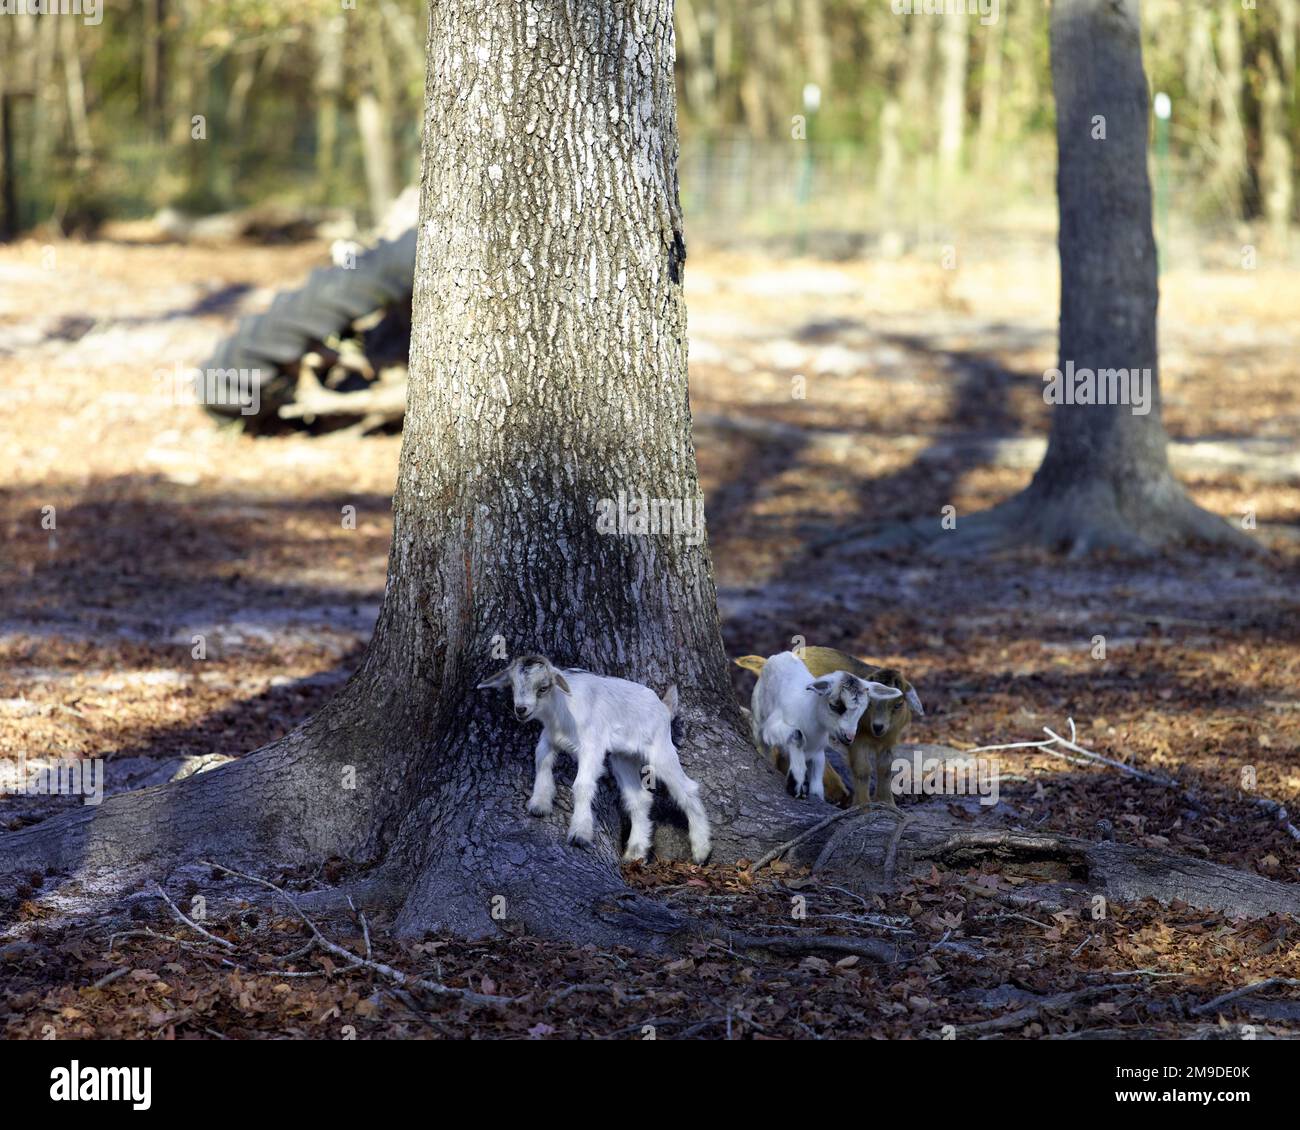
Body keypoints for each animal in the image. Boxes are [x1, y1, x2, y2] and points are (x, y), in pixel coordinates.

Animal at [477, 655, 711, 864]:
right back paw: (635, 852)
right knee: (640, 799)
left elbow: (582, 785)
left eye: (543, 687)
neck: (560, 709)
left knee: (687, 789)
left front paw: (580, 833)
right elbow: (541, 759)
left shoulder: (592, 747)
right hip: (623, 758)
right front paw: (539, 803)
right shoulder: (550, 737)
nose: (521, 710)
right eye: (513, 685)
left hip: (660, 749)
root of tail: (664, 707)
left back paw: (701, 850)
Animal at [737, 647, 923, 807]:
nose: (878, 727)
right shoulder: (857, 741)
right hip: (760, 718)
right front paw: (863, 806)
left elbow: (885, 768)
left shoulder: (884, 742)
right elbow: (861, 769)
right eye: (834, 705)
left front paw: (887, 804)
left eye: (899, 704)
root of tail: (776, 657)